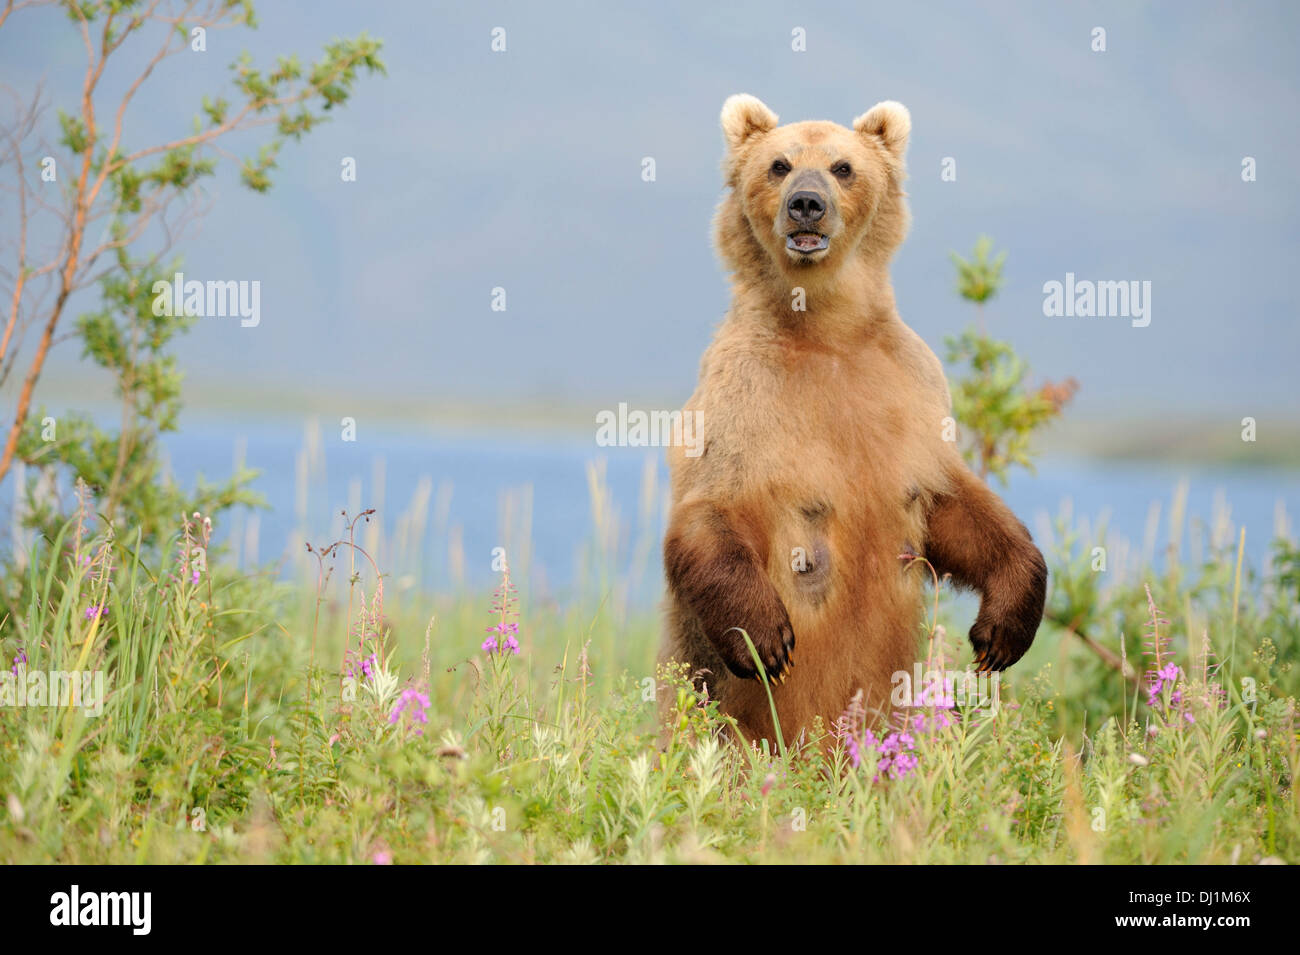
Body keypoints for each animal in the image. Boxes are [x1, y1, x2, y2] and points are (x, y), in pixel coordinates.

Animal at [659, 94, 1047, 747]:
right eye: (779, 164)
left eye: (843, 167)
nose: (806, 204)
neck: (826, 329)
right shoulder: (744, 394)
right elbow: (710, 509)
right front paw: (766, 641)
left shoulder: (910, 391)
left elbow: (957, 505)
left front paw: (1001, 634)